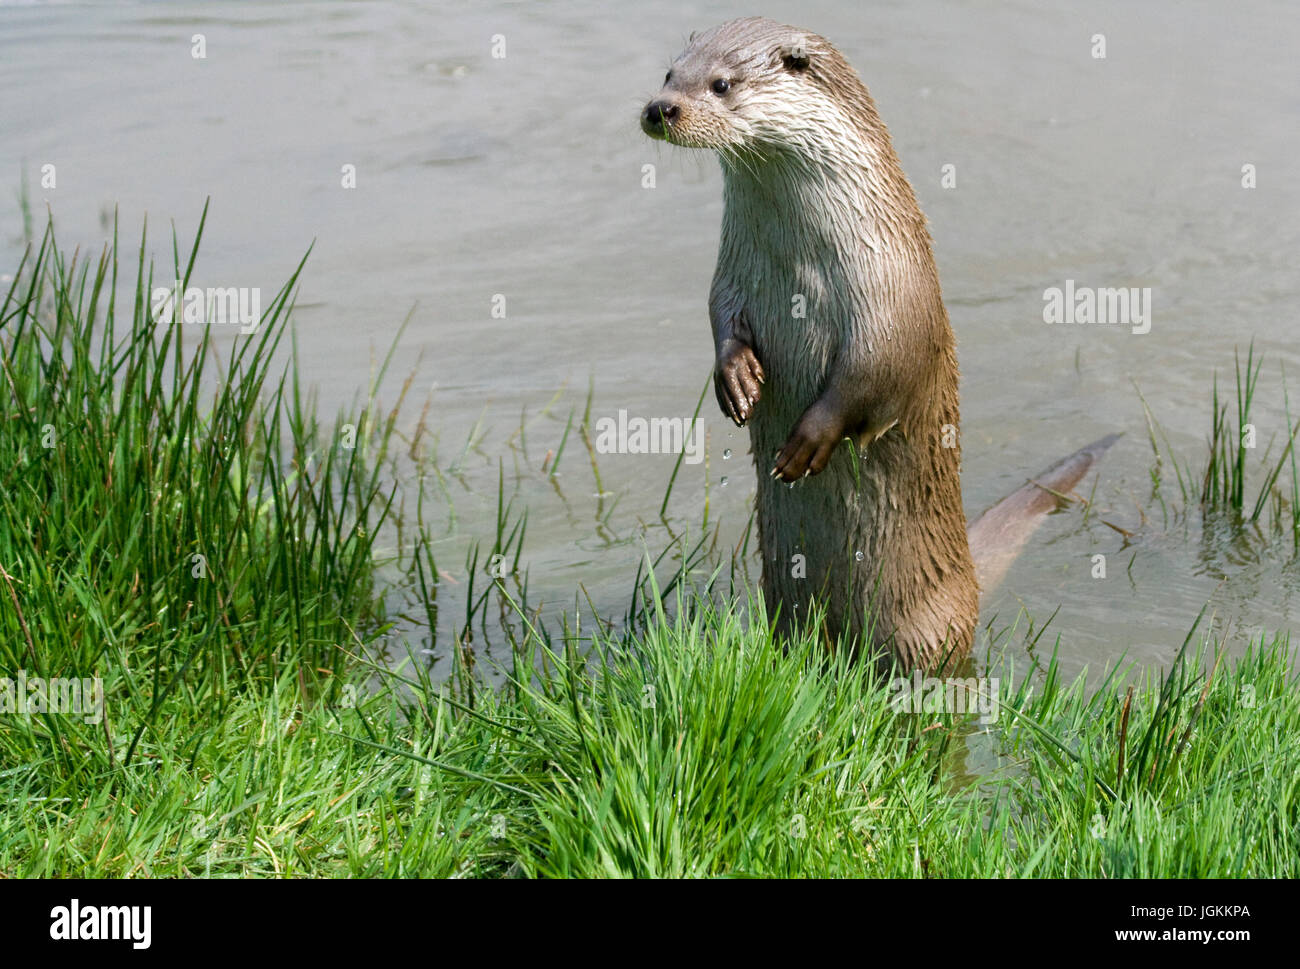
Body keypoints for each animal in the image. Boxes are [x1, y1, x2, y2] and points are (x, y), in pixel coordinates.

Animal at [641, 17, 1114, 672]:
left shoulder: (891, 290)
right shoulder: (733, 273)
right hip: (784, 604)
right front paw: (735, 379)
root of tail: (968, 577)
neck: (800, 264)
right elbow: (719, 317)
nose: (660, 109)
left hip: (926, 624)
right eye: (669, 73)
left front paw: (807, 442)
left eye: (721, 83)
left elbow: (876, 370)